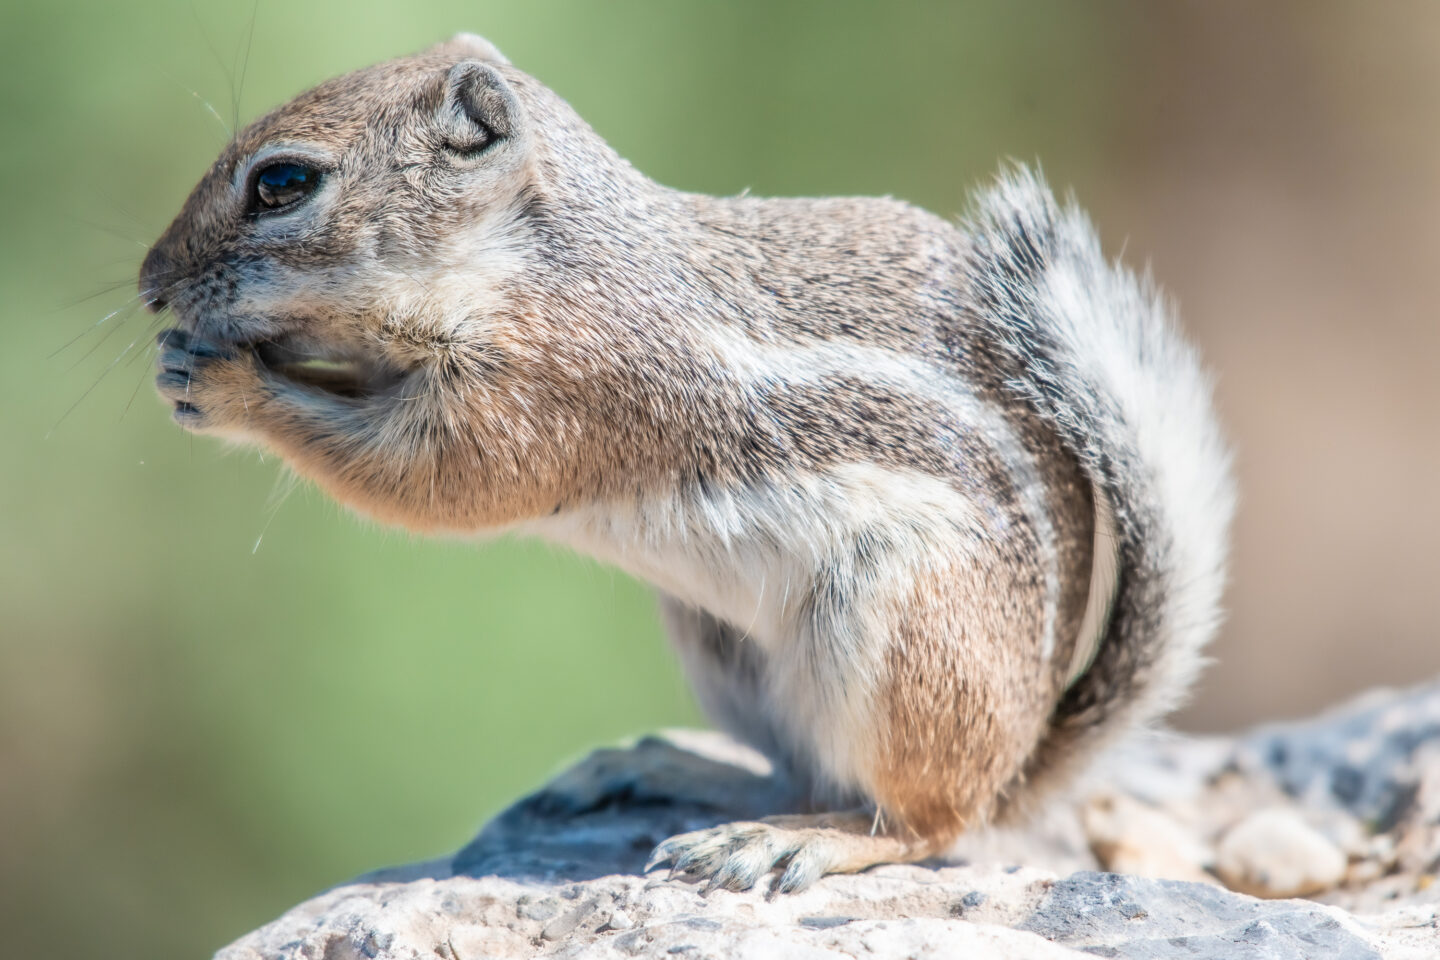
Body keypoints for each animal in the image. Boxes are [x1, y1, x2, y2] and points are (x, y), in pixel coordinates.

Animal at [140, 34, 1233, 893]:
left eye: (284, 183)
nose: (150, 285)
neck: (531, 256)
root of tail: (1022, 761)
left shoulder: (547, 395)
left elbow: (436, 484)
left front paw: (225, 387)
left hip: (898, 636)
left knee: (924, 820)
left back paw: (783, 845)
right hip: (724, 650)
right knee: (806, 773)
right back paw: (668, 775)